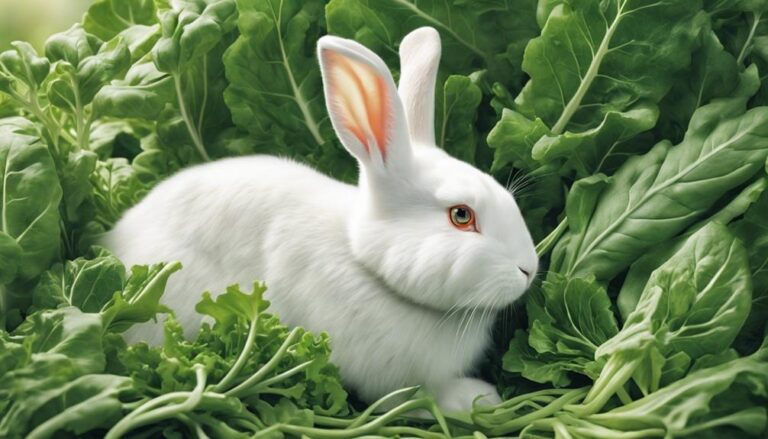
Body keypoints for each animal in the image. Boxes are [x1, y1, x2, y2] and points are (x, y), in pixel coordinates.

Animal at [103, 26, 538, 412]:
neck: (369, 269)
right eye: (461, 216)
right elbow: (411, 399)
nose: (529, 270)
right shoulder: (390, 379)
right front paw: (476, 399)